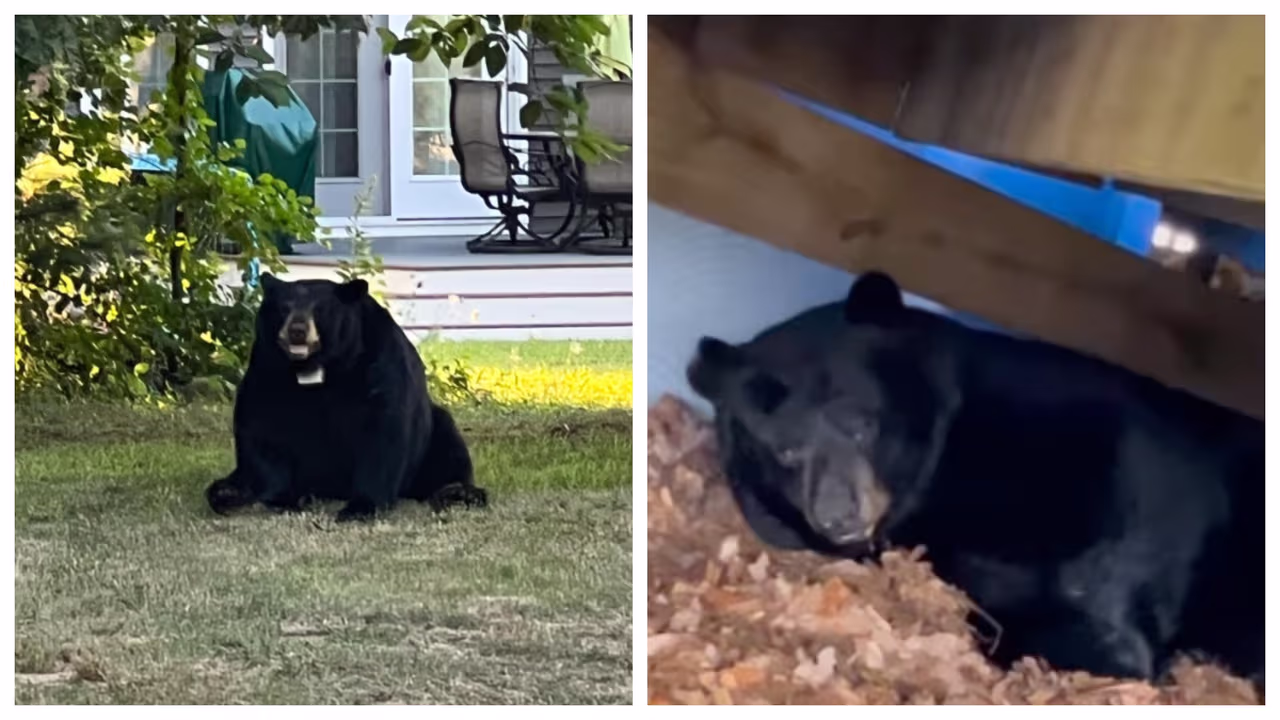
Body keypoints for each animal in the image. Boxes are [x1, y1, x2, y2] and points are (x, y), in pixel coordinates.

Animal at [205, 274, 487, 523]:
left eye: (320, 309)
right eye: (284, 308)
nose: (297, 330)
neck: (316, 366)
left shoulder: (381, 363)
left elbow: (384, 431)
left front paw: (361, 507)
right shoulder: (267, 365)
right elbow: (261, 425)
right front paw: (283, 499)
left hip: (433, 436)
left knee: (448, 443)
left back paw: (458, 492)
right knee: (226, 483)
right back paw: (229, 494)